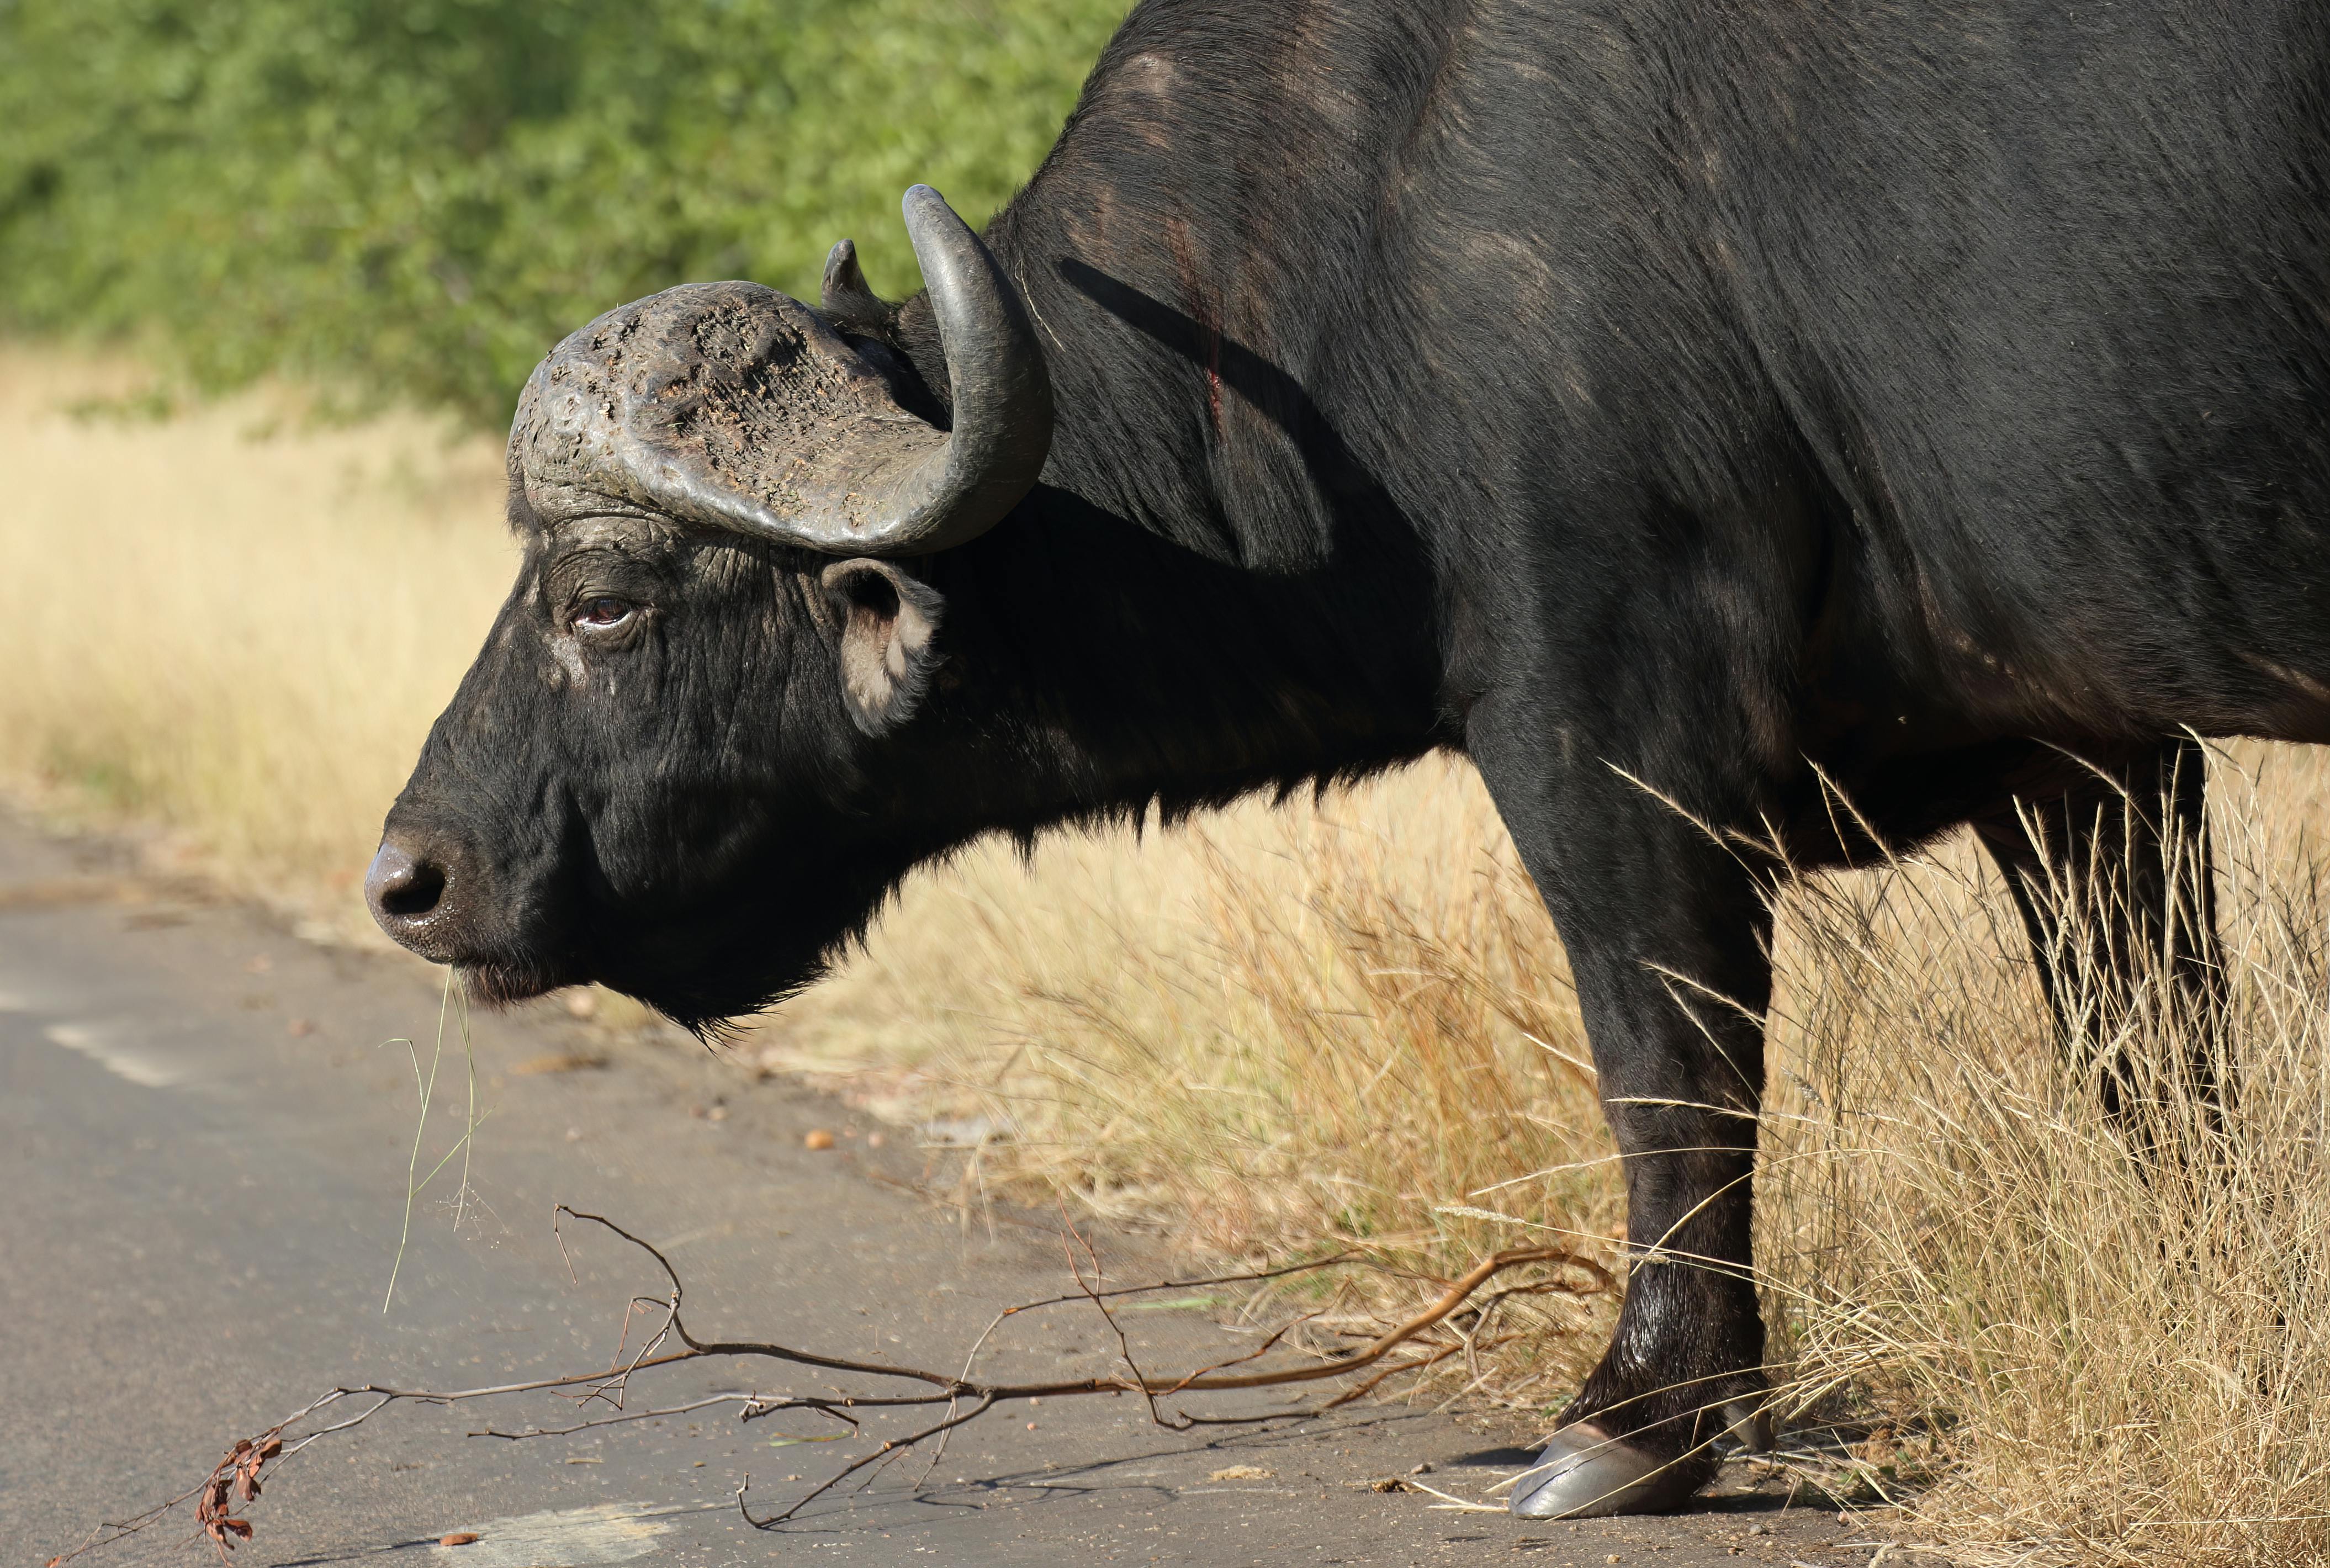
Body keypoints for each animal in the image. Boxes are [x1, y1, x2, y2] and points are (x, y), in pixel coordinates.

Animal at [364, 0, 2330, 1519]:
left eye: (603, 598)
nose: (411, 878)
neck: (1362, 225)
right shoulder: (2085, 757)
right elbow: (2153, 1065)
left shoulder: (1603, 734)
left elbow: (1668, 1061)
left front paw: (1636, 1421)